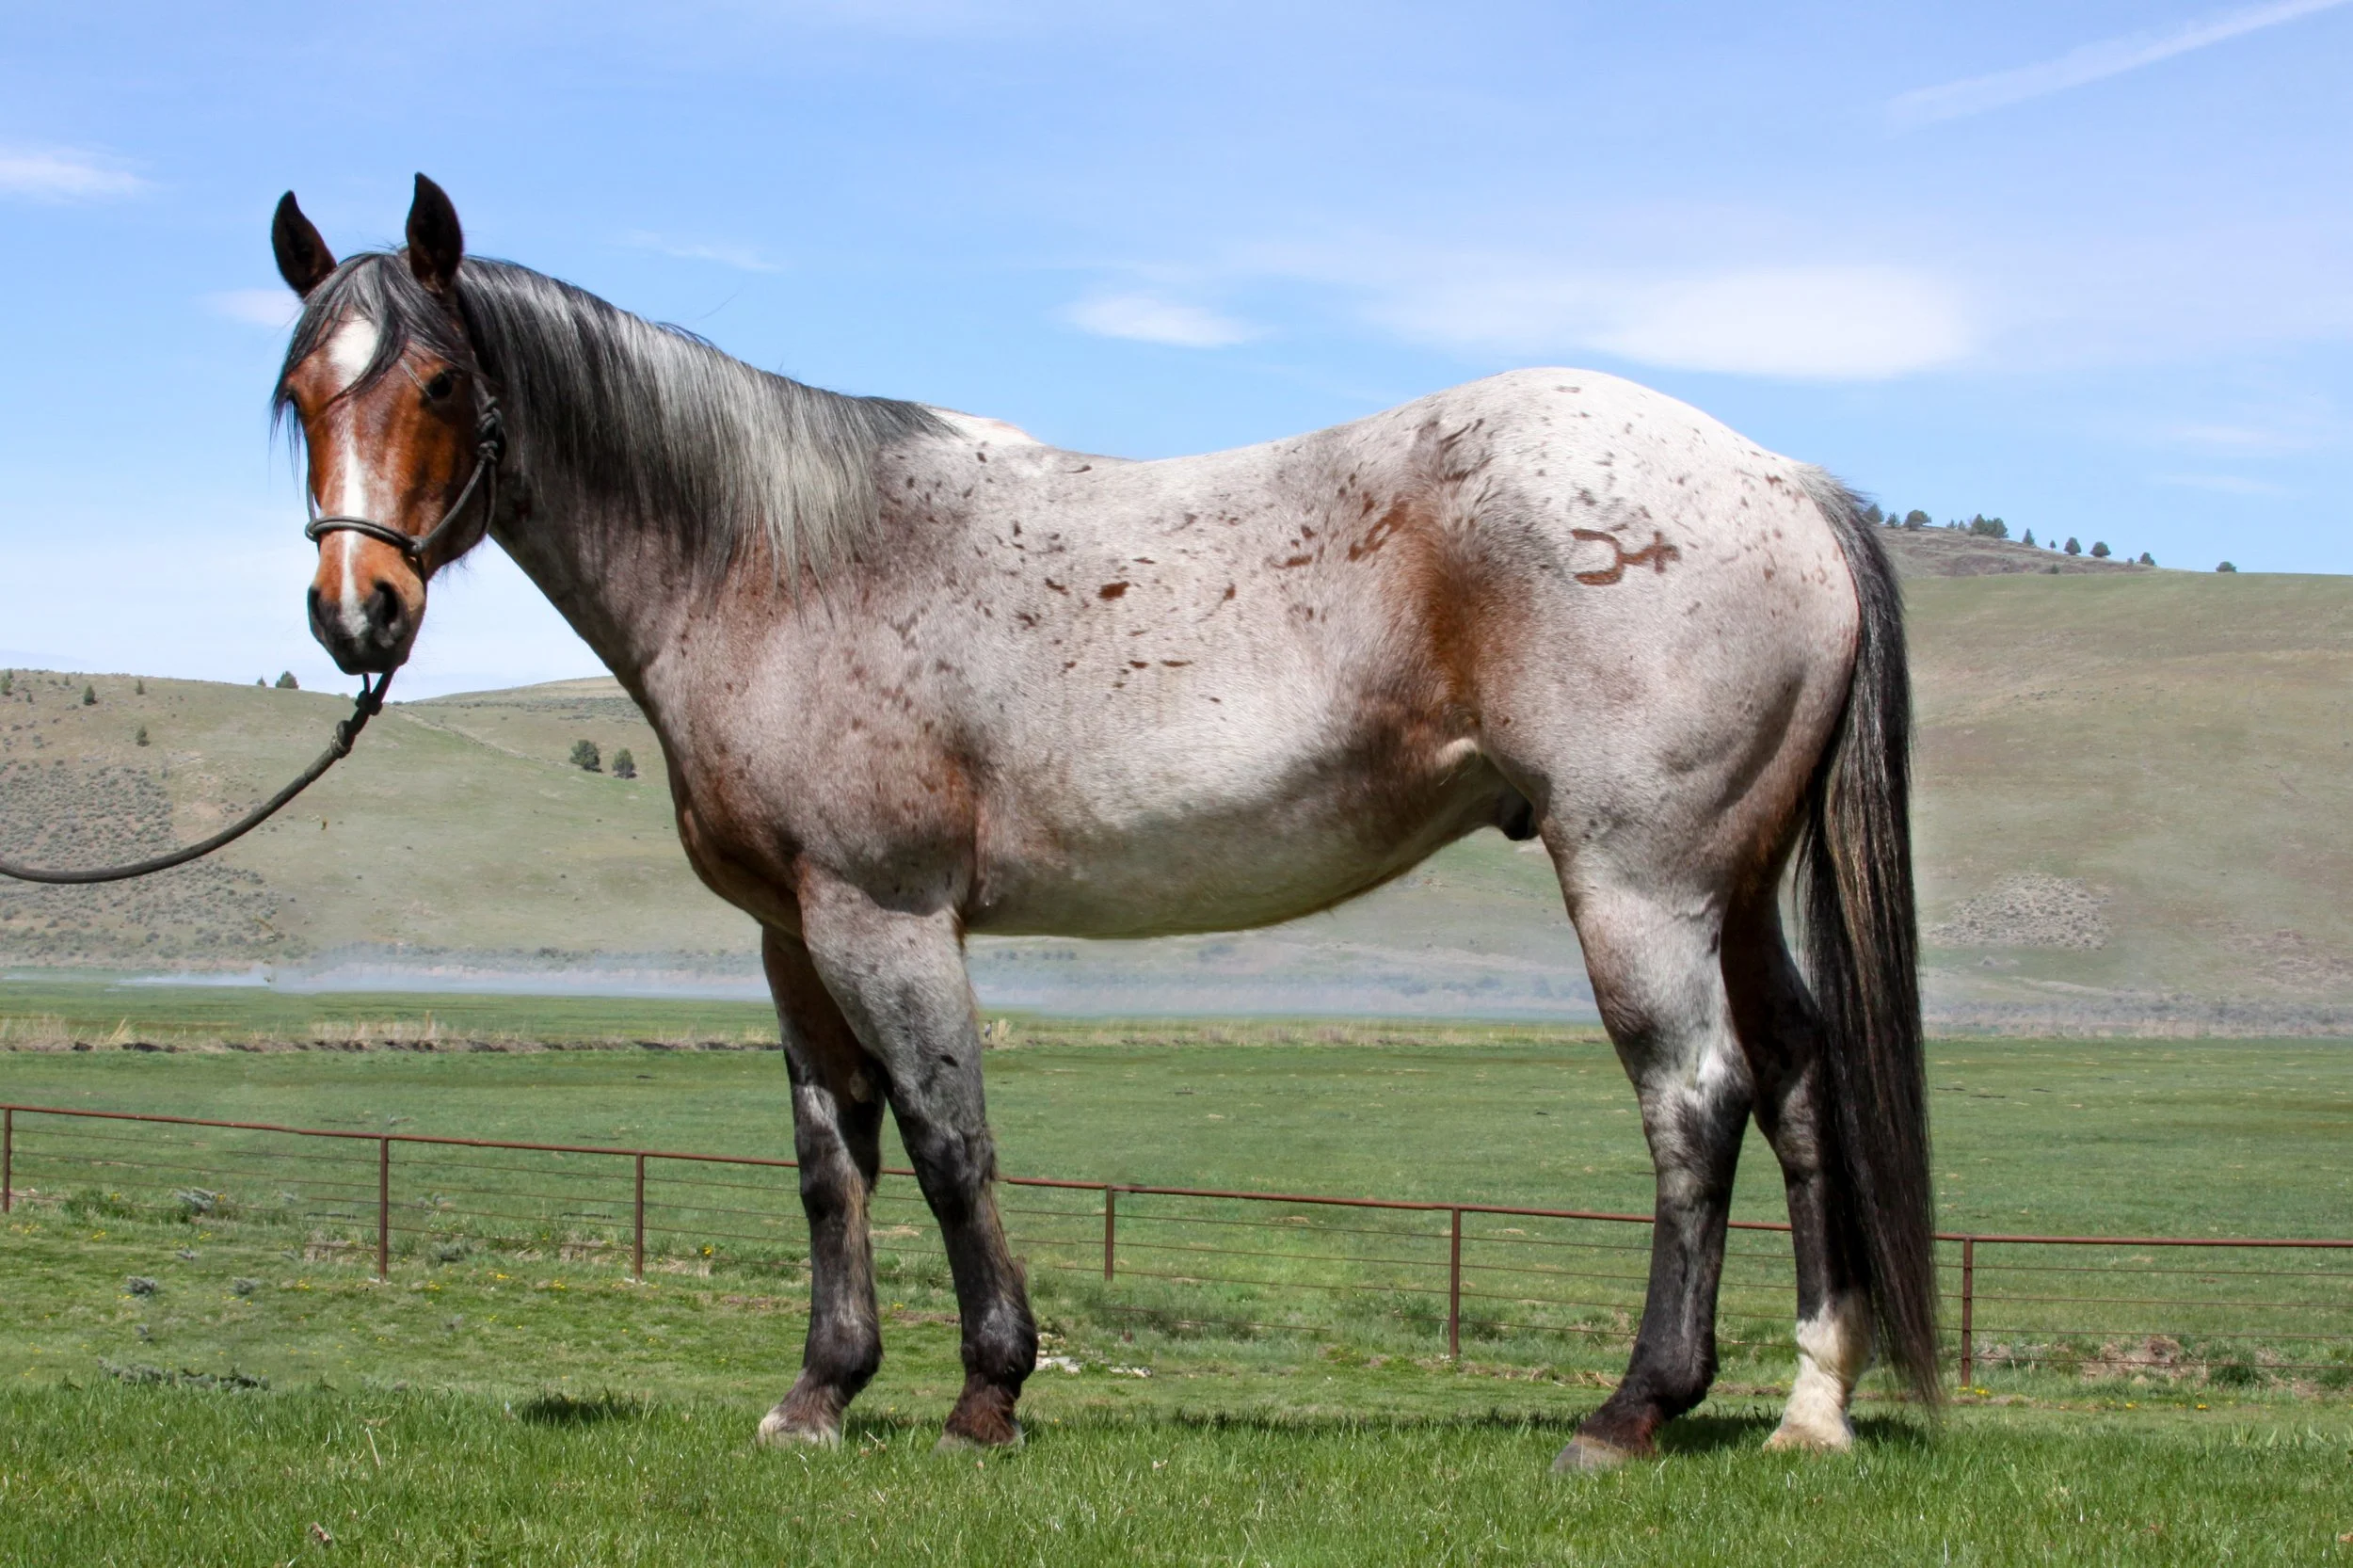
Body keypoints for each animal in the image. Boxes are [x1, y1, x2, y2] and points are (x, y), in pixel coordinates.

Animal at [269, 175, 1936, 1471]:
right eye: (297, 395)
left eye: (435, 384)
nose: (359, 612)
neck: (781, 563)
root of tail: (1782, 484)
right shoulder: (790, 936)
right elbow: (831, 1159)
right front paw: (818, 1394)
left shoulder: (885, 915)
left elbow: (947, 1138)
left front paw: (986, 1394)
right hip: (1732, 888)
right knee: (1798, 1086)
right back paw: (1810, 1405)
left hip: (1640, 882)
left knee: (1695, 1101)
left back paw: (1632, 1410)